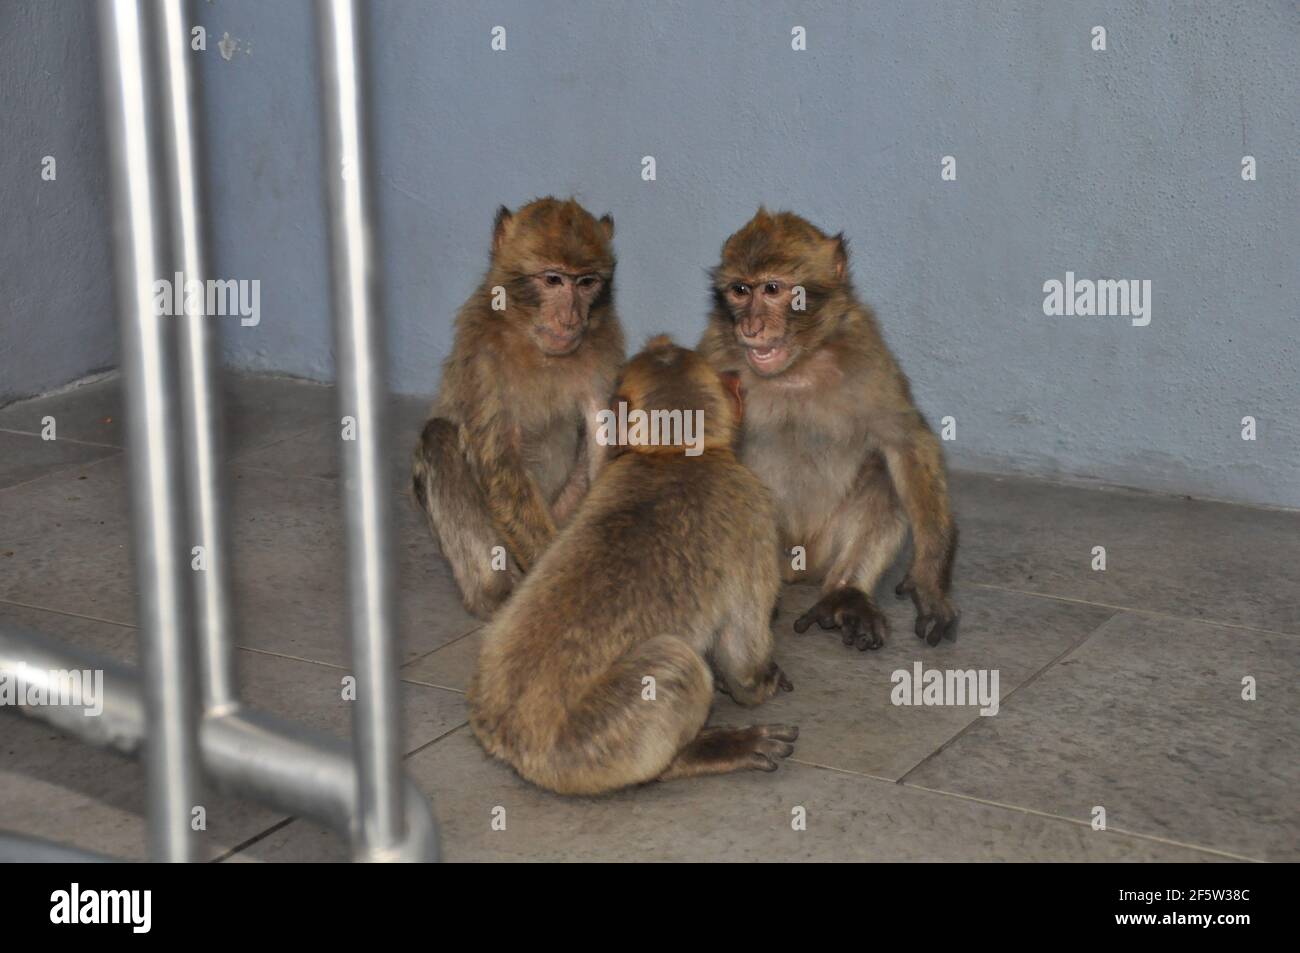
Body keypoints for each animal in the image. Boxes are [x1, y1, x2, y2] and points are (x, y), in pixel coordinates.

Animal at [412, 197, 626, 618]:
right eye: (553, 280)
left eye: (586, 282)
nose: (570, 318)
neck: (534, 341)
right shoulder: (481, 356)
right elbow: (500, 464)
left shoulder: (604, 347)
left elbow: (602, 438)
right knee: (439, 437)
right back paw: (495, 595)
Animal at [467, 336, 798, 796]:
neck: (676, 454)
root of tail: (508, 736)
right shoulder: (754, 508)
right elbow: (742, 652)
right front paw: (761, 681)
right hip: (592, 743)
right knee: (676, 665)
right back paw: (694, 755)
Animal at [698, 208, 958, 650]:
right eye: (739, 291)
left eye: (772, 289)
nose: (750, 327)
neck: (797, 367)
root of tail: (797, 569)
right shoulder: (715, 353)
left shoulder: (866, 351)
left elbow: (906, 443)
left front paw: (929, 579)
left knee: (882, 473)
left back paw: (845, 593)